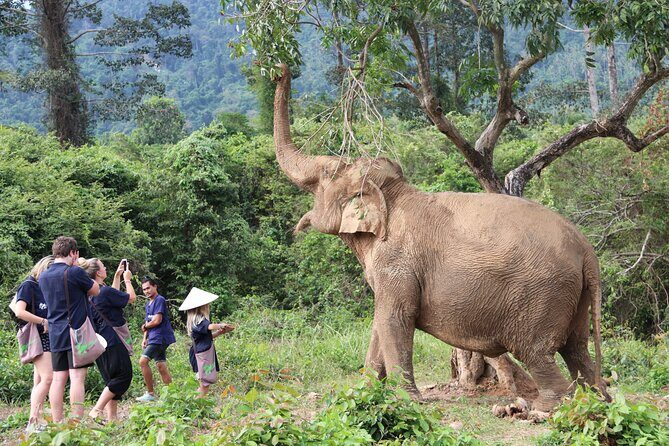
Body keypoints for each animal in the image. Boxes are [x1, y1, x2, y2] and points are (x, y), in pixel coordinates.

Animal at [272, 64, 608, 411]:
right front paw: (363, 393)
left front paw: (406, 401)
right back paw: (598, 399)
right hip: (575, 296)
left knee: (537, 353)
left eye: (325, 174)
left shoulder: (397, 263)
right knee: (577, 350)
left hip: (540, 298)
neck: (394, 194)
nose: (281, 69)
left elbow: (394, 318)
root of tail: (587, 252)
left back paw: (539, 410)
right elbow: (380, 323)